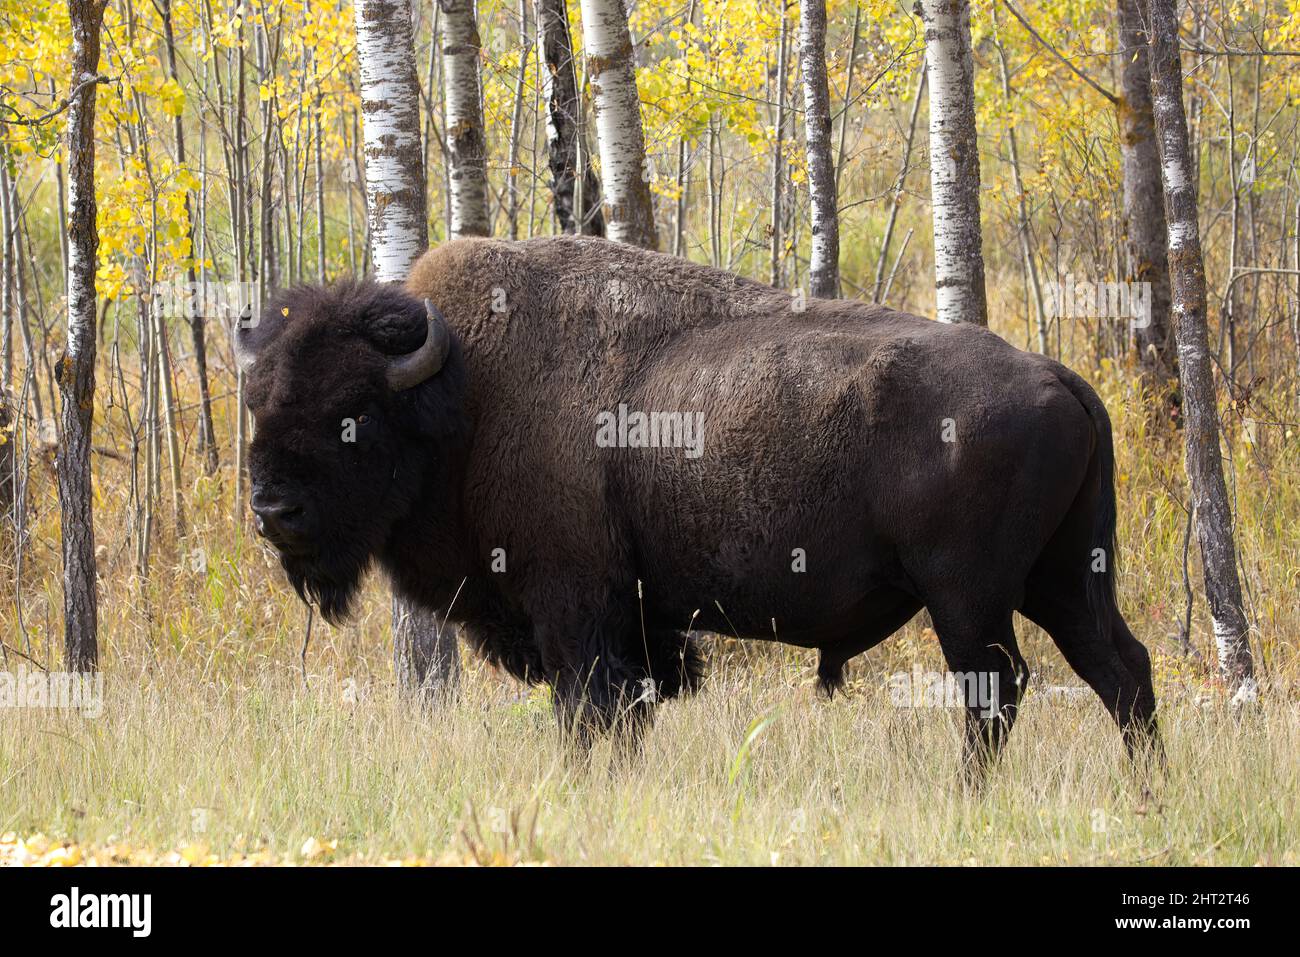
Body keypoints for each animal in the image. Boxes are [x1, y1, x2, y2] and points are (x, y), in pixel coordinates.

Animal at [238, 236, 1158, 774]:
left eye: (352, 413)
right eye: (259, 401)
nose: (272, 510)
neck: (465, 392)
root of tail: (1059, 377)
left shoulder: (574, 607)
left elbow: (589, 711)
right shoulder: (634, 622)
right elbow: (625, 711)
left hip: (968, 598)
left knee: (997, 693)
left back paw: (969, 794)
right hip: (1064, 580)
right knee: (1120, 668)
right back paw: (1145, 786)